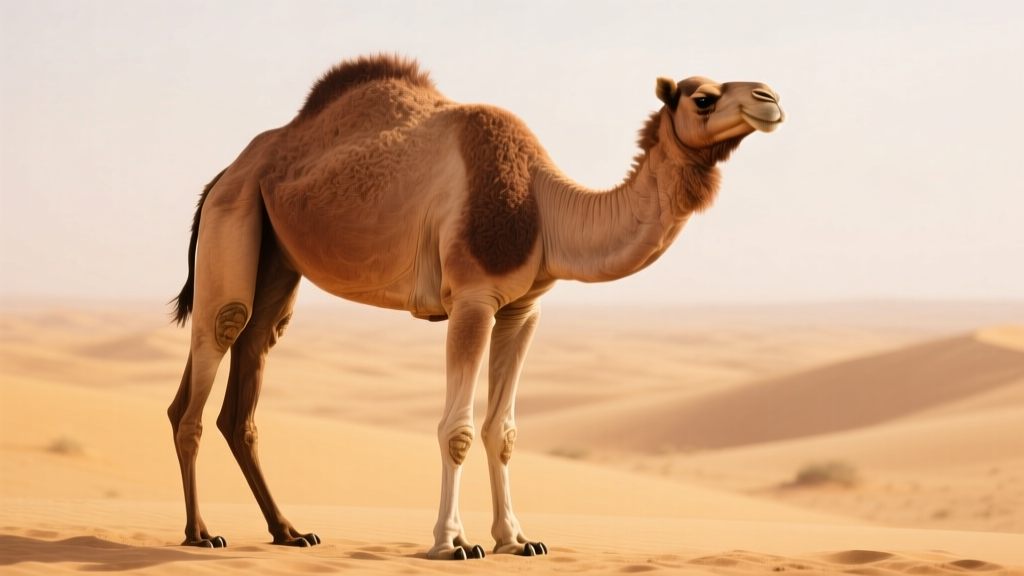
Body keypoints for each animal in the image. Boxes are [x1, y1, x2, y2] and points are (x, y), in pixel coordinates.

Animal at [167, 54, 784, 559]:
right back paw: (201, 533)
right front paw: (451, 543)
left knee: (250, 362)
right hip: (234, 216)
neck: (542, 208)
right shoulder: (471, 299)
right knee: (219, 338)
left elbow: (502, 431)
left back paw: (289, 532)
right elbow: (458, 430)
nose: (770, 98)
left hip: (276, 252)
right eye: (703, 97)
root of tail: (226, 172)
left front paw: (517, 539)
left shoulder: (522, 309)